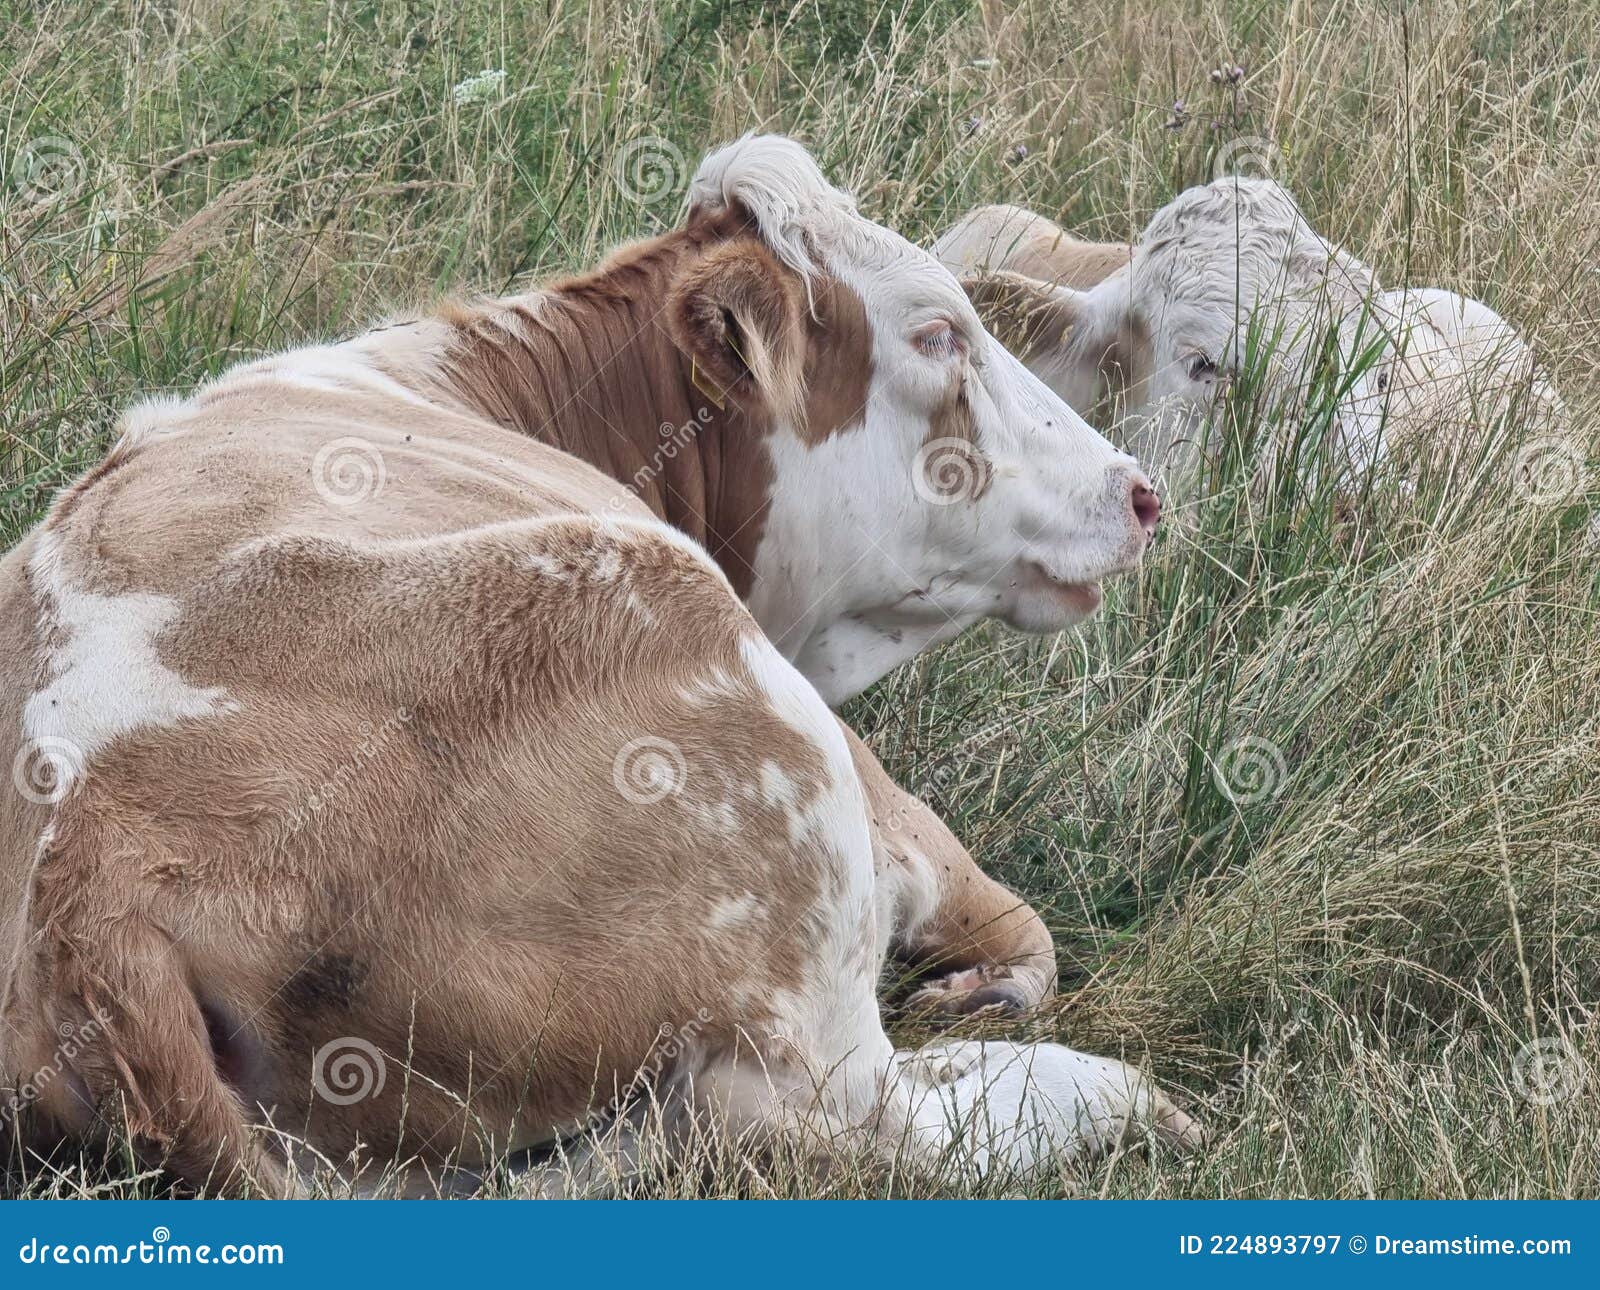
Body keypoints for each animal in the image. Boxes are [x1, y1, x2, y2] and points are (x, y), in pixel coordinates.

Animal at [0, 135, 1191, 1197]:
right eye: (940, 333)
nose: (1136, 492)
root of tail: (97, 872)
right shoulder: (863, 778)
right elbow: (1001, 910)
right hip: (747, 738)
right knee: (855, 1124)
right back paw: (1115, 1098)